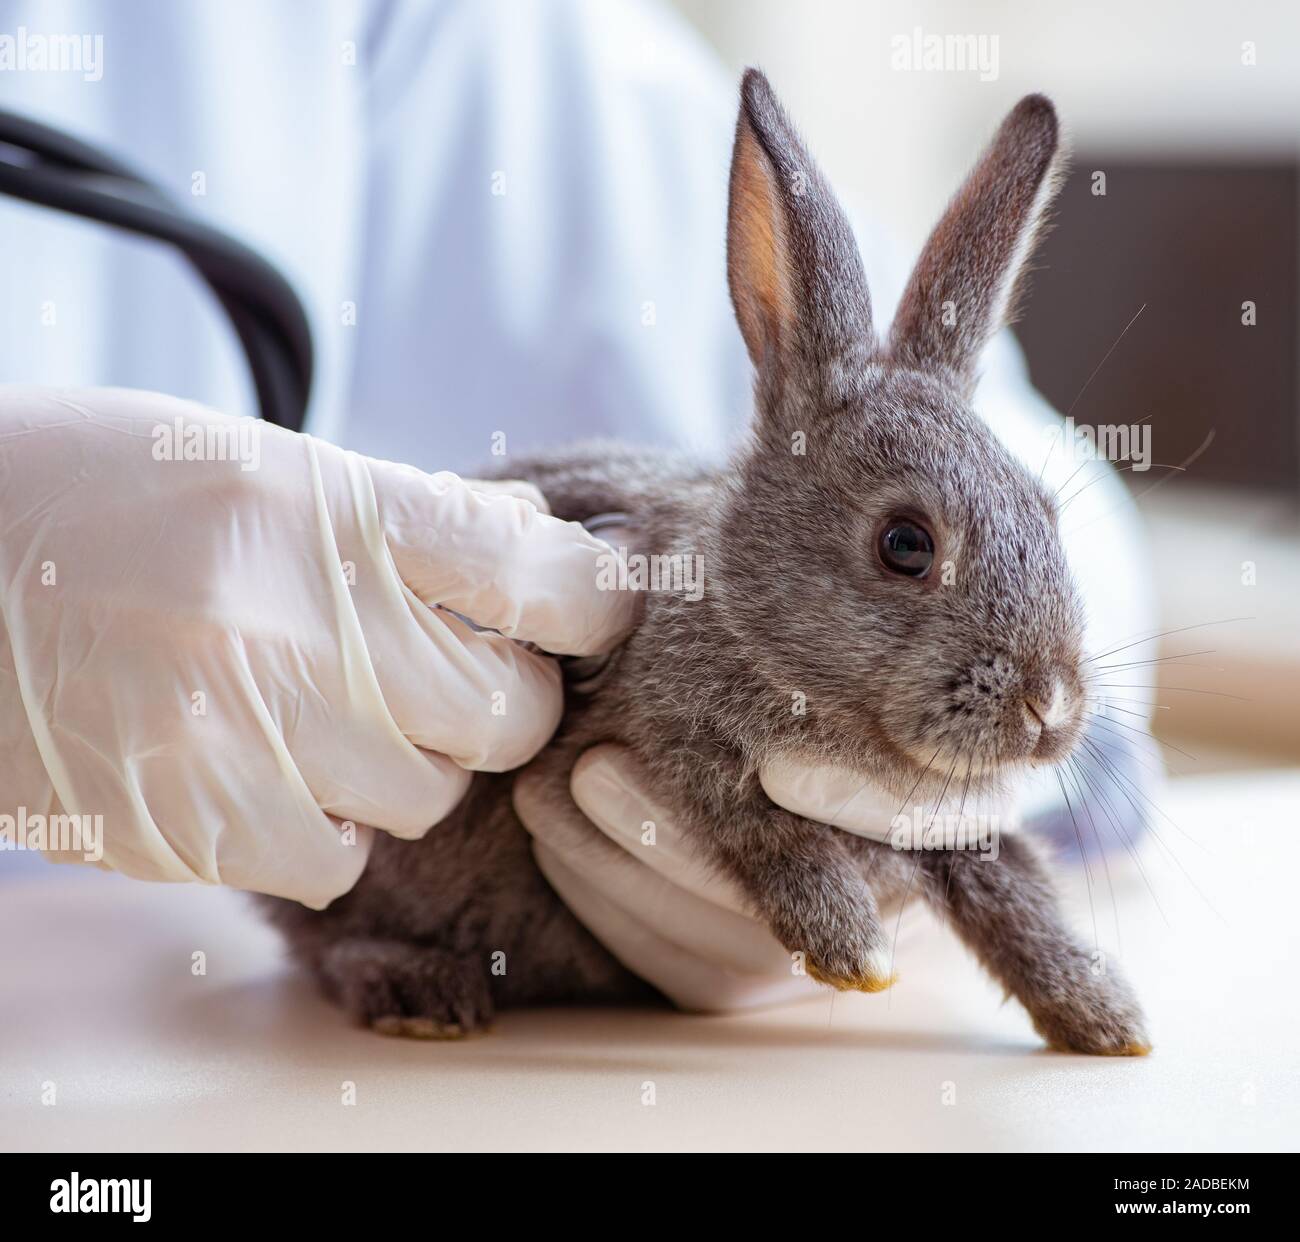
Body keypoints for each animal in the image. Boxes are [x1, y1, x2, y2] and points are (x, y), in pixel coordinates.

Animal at [258, 70, 1150, 1056]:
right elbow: (758, 827)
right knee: (320, 937)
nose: (1051, 707)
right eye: (906, 545)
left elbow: (1015, 891)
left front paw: (1103, 1017)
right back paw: (417, 990)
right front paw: (854, 949)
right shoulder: (663, 748)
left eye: (1048, 512)